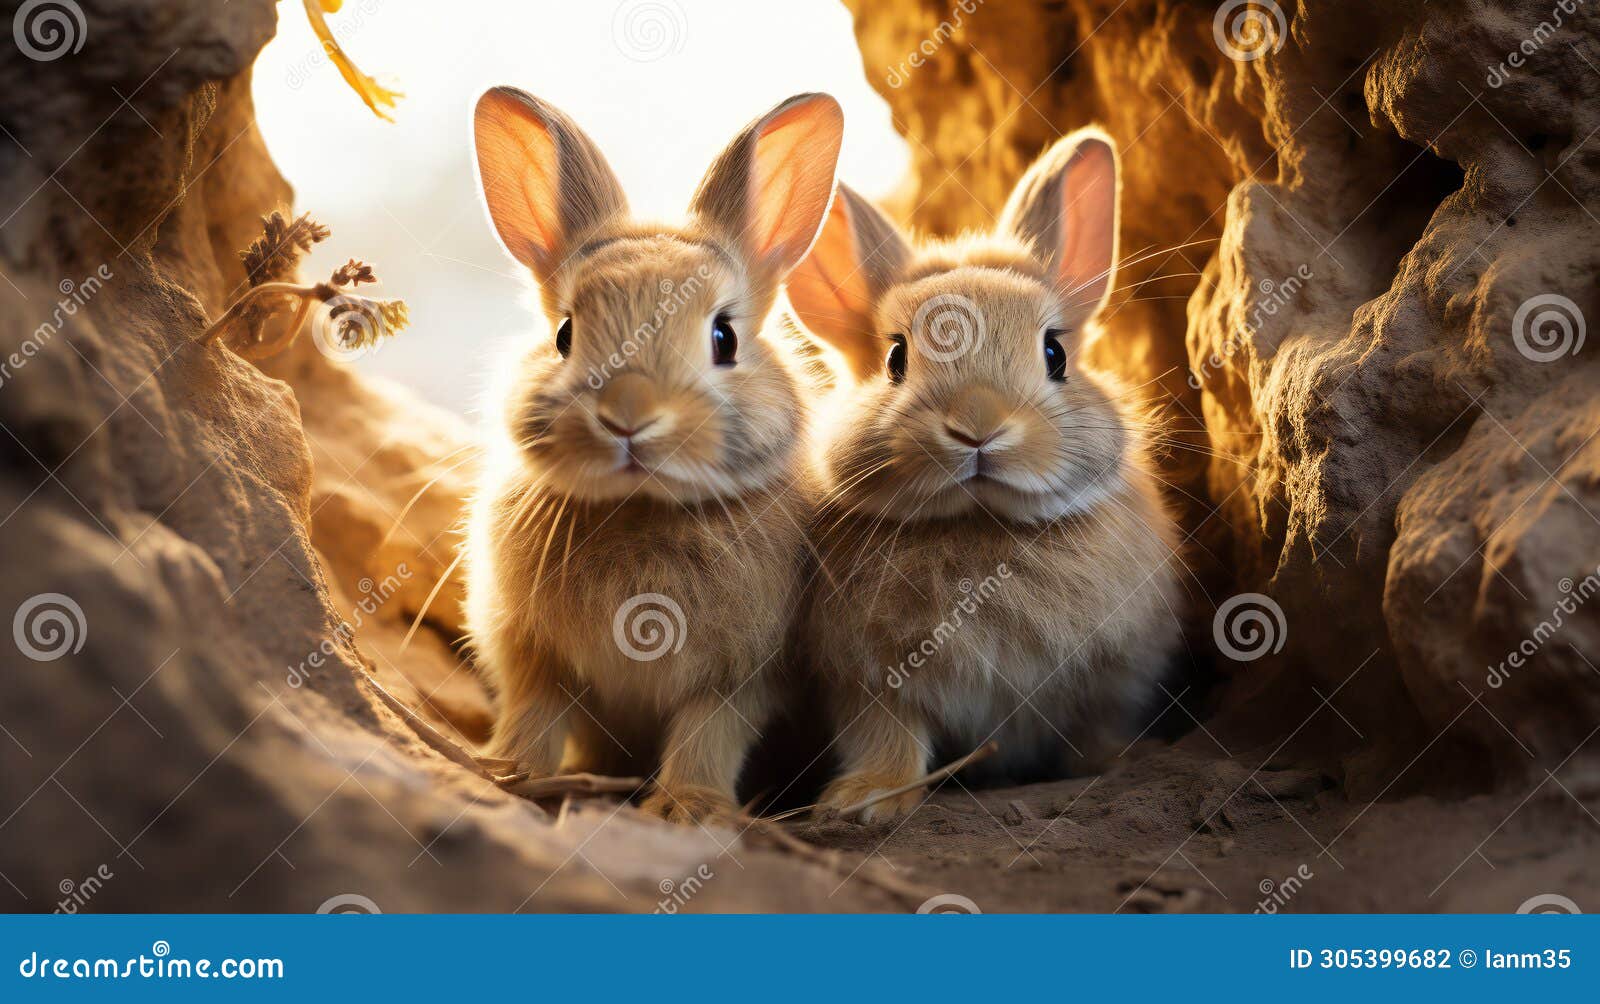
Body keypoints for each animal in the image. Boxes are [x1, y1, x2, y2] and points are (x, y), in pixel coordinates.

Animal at [463, 87, 844, 824]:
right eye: (565, 334)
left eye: (724, 338)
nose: (629, 418)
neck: (641, 508)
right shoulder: (532, 656)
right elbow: (534, 715)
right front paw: (510, 773)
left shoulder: (741, 675)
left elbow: (708, 732)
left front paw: (687, 807)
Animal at [785, 129, 1185, 822]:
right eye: (896, 358)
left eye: (1055, 352)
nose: (978, 425)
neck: (979, 523)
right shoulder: (866, 682)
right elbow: (887, 738)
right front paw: (864, 802)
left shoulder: (1114, 677)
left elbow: (1097, 729)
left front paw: (1117, 764)